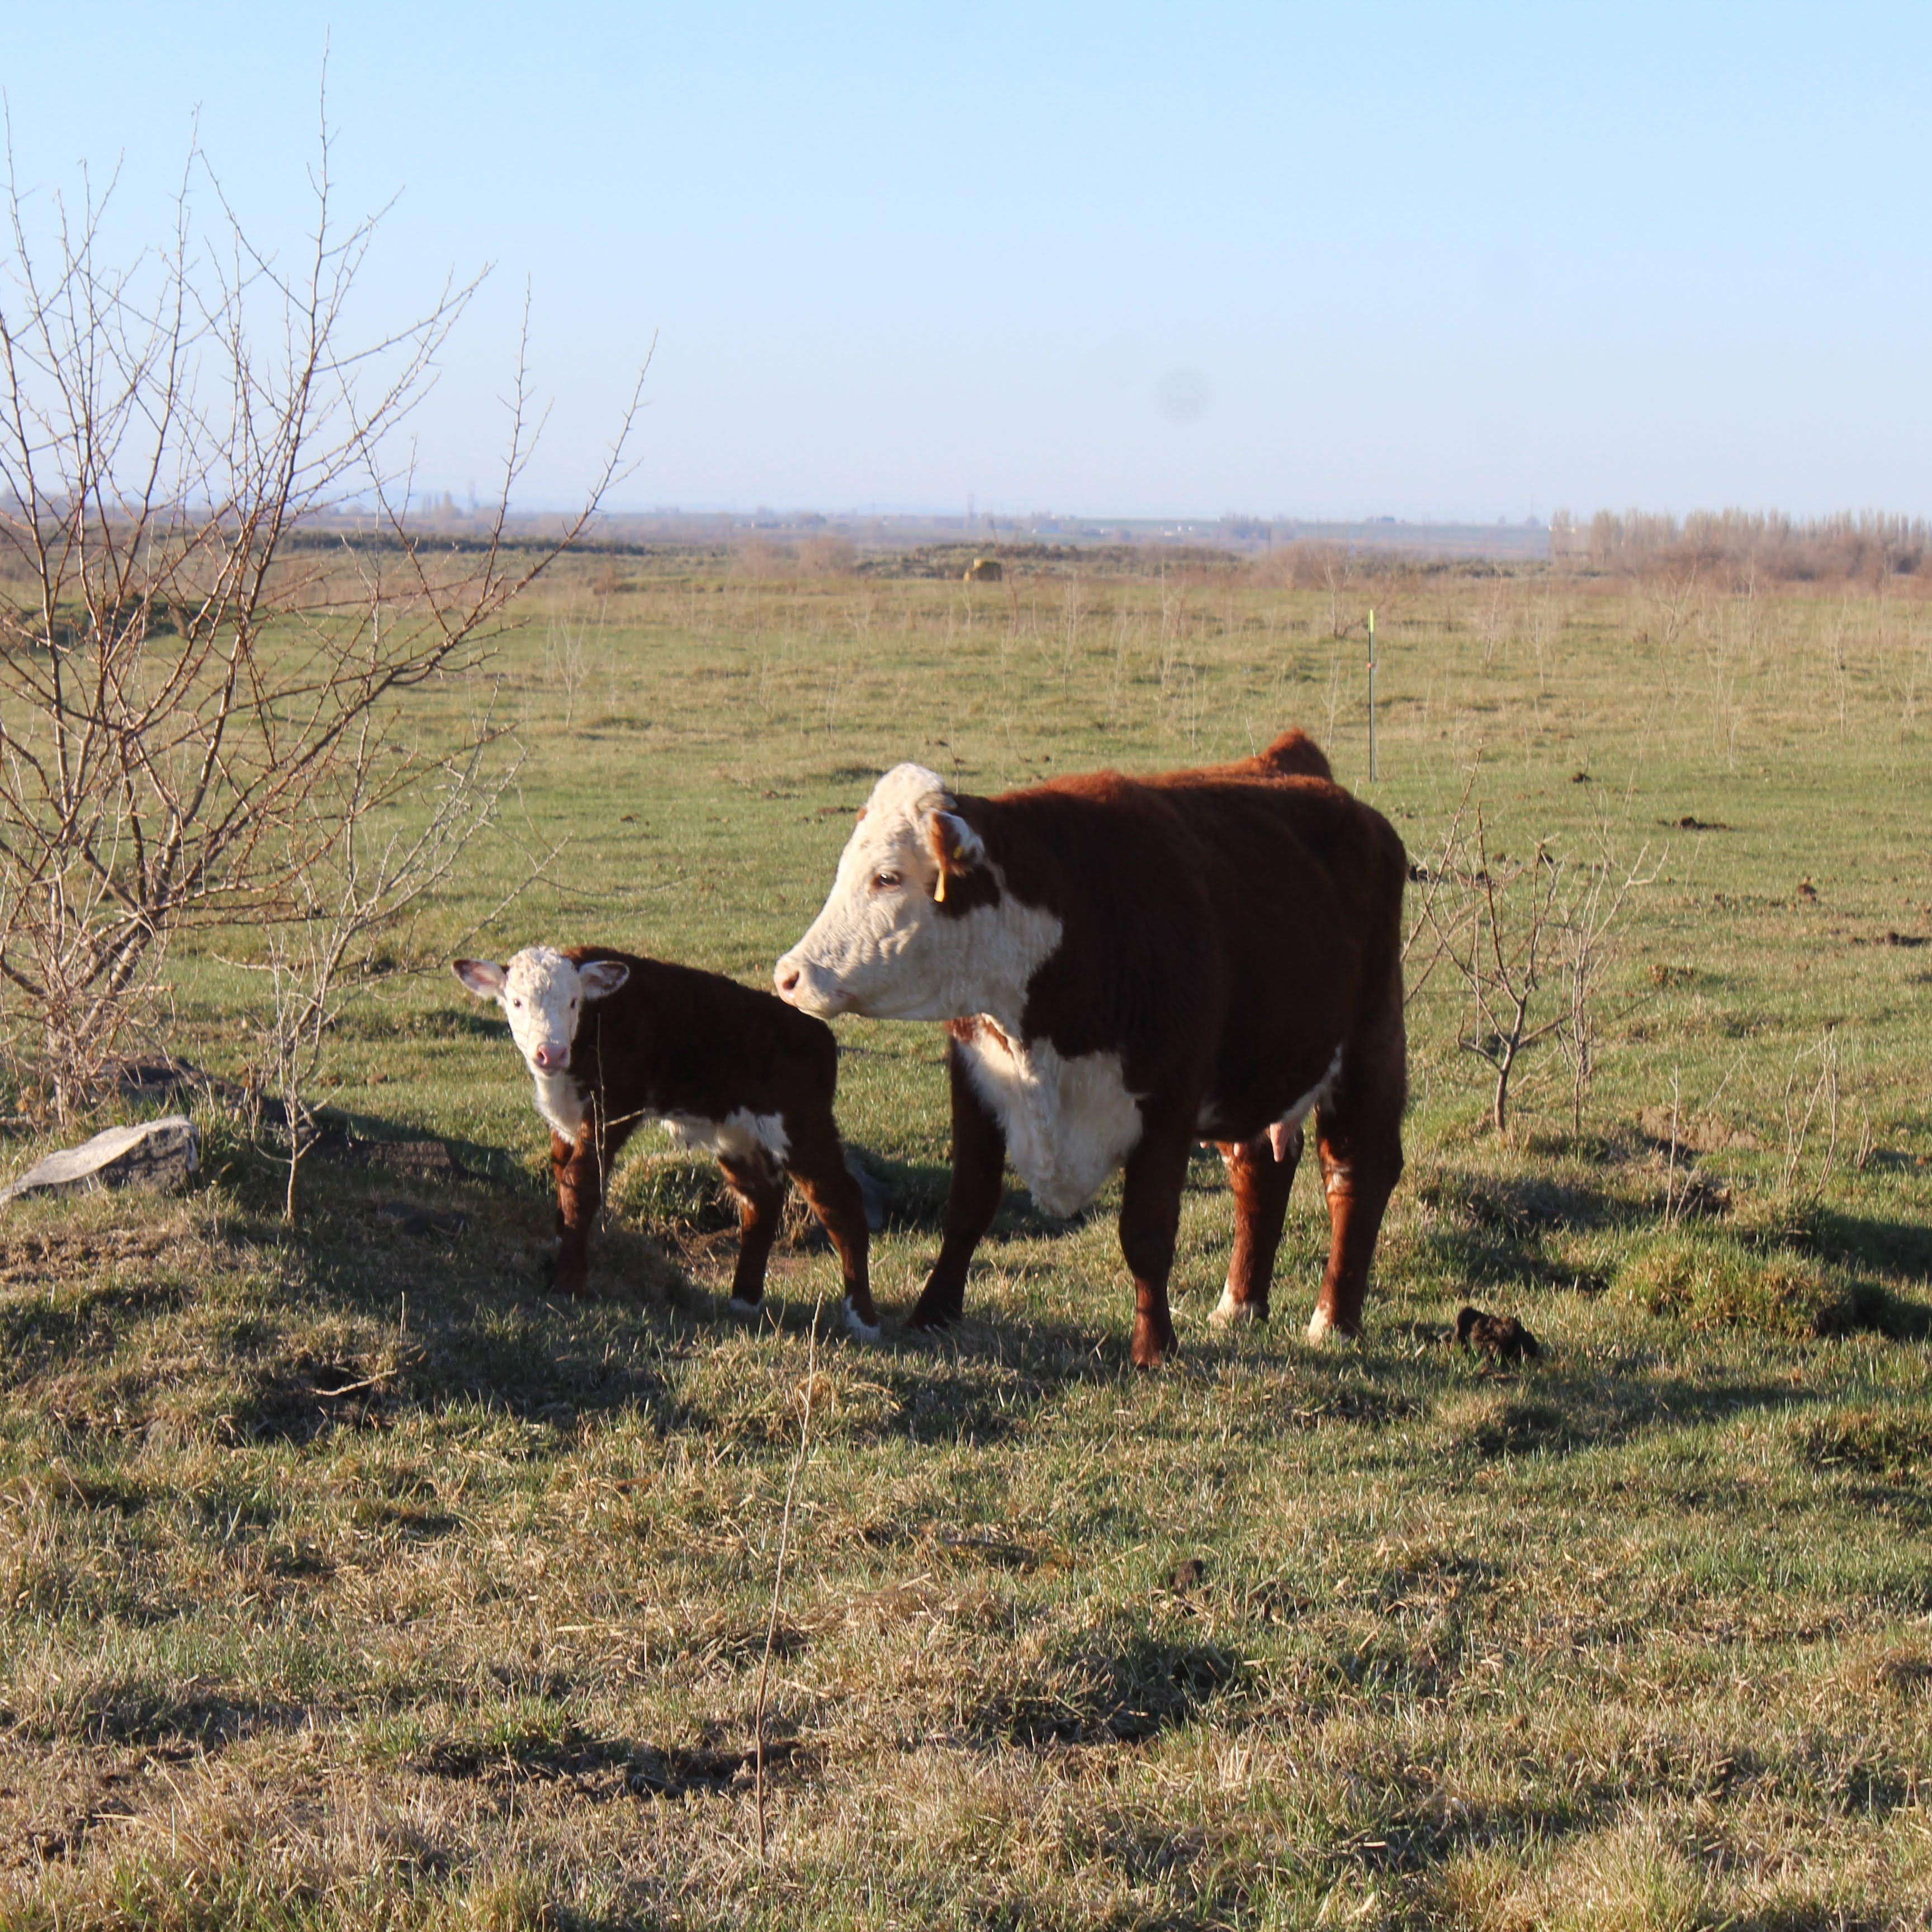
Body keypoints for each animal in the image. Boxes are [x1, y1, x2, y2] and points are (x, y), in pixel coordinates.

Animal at [453, 945, 878, 1339]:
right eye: (517, 1001)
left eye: (574, 1001)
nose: (550, 1052)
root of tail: (817, 1033)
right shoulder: (564, 1117)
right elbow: (562, 1175)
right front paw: (559, 1243)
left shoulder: (612, 1109)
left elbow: (581, 1183)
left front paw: (569, 1280)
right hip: (735, 1132)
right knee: (761, 1199)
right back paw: (744, 1300)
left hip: (803, 1126)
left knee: (842, 1205)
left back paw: (863, 1319)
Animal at [773, 731, 1406, 1367]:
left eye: (887, 877)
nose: (790, 975)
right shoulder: (975, 1076)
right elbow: (969, 1205)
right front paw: (932, 1314)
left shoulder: (1167, 1099)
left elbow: (1146, 1232)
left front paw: (1154, 1348)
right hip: (1256, 1068)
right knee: (1258, 1168)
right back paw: (1239, 1305)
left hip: (1370, 1042)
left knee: (1356, 1171)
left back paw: (1333, 1320)